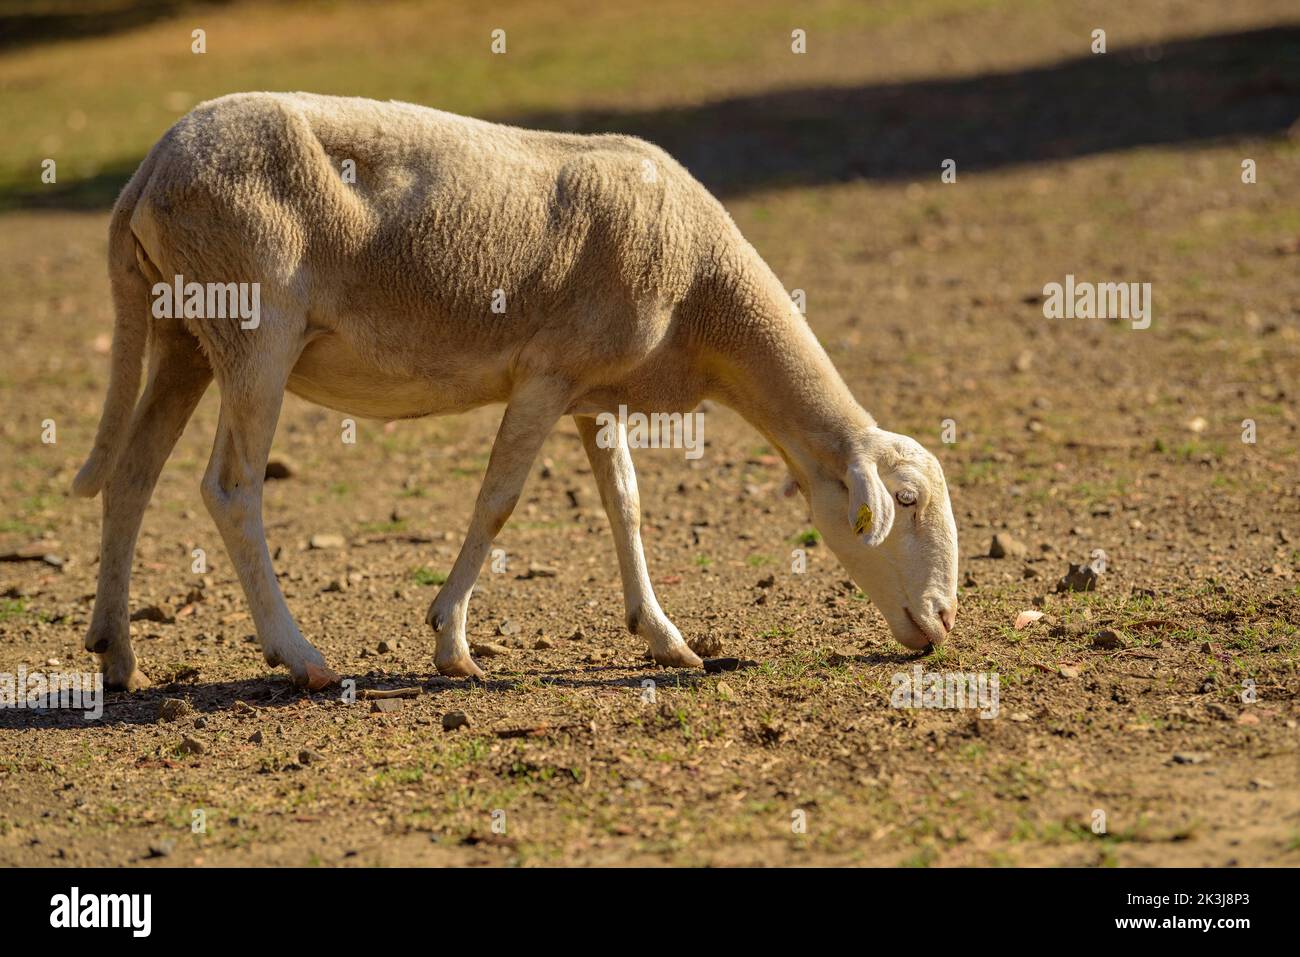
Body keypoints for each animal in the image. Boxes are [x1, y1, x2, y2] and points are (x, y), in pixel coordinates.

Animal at [72, 92, 959, 690]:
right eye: (907, 501)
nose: (944, 623)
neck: (704, 297)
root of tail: (147, 170)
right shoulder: (547, 373)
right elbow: (497, 500)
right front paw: (451, 641)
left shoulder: (596, 392)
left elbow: (626, 505)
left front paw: (666, 637)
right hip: (255, 325)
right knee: (230, 488)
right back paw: (301, 657)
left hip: (185, 333)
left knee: (133, 475)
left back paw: (117, 653)